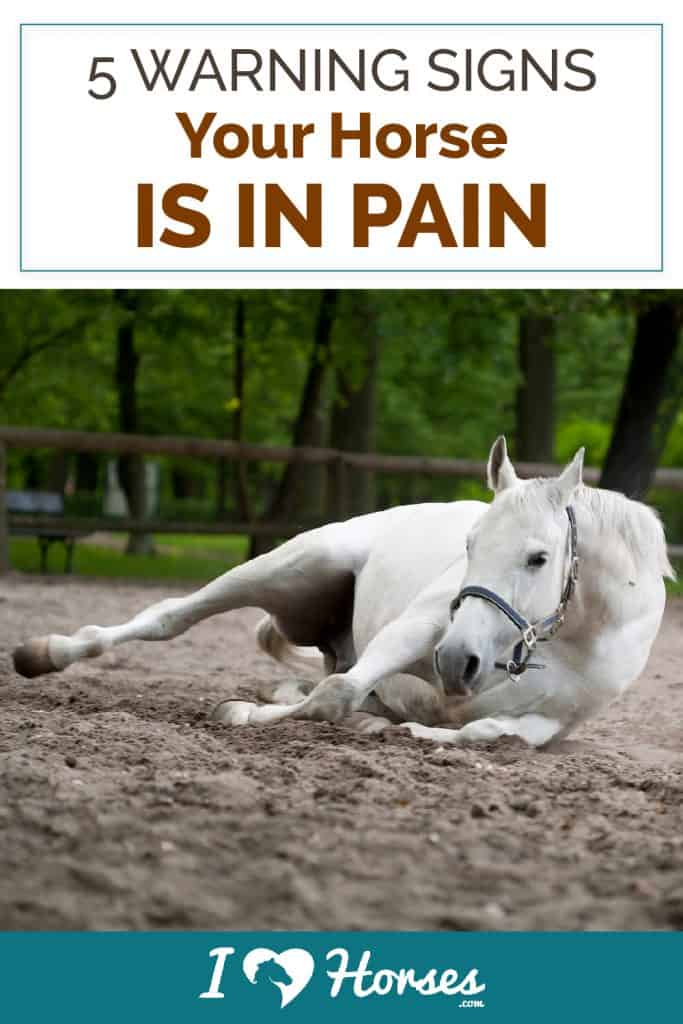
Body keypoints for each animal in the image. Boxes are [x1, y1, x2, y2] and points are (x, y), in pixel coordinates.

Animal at [12, 437, 673, 748]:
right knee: (170, 617)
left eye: (538, 558)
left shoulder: (557, 721)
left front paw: (413, 732)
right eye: (469, 544)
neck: (573, 636)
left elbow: (489, 732)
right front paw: (244, 713)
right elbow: (336, 694)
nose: (458, 662)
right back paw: (44, 653)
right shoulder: (422, 629)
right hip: (287, 567)